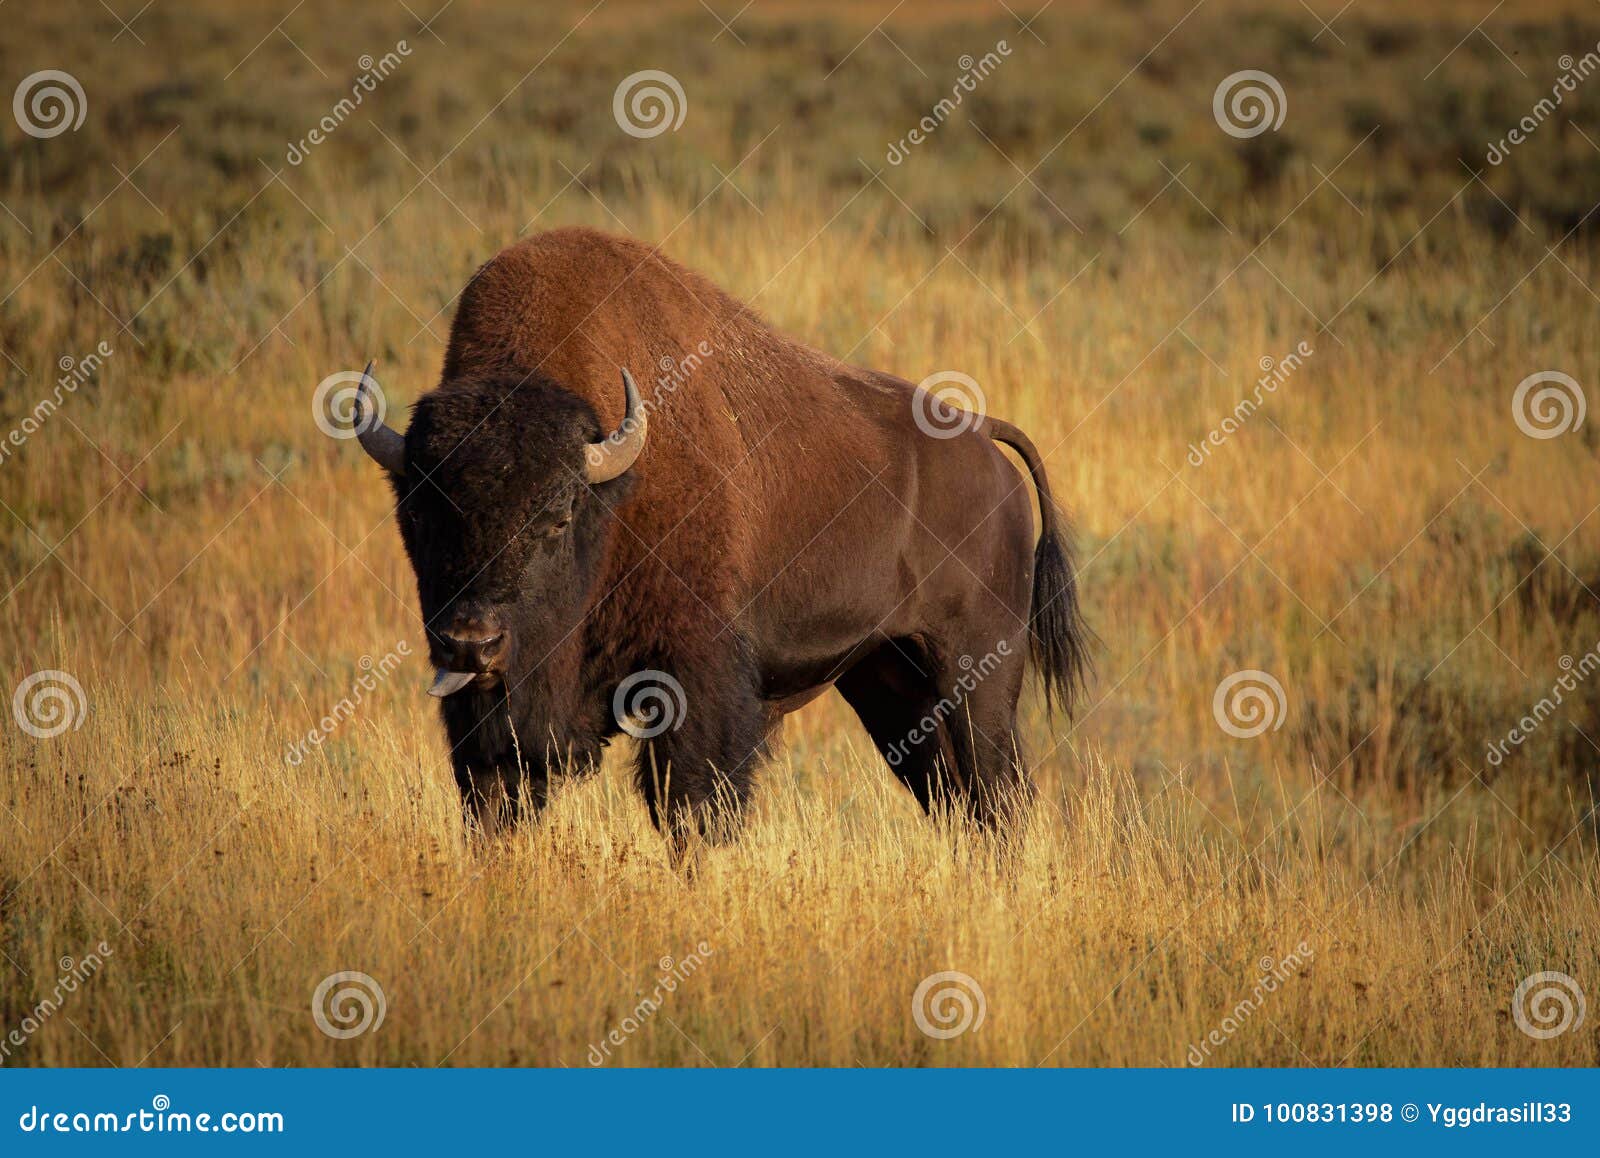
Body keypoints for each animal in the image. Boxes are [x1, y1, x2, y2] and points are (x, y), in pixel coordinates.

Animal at [353, 227, 1088, 844]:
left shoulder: (693, 683)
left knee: (999, 795)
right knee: (958, 799)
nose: (472, 643)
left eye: (557, 518)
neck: (614, 494)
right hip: (890, 681)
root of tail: (986, 441)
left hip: (977, 670)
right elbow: (495, 801)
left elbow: (691, 810)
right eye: (420, 515)